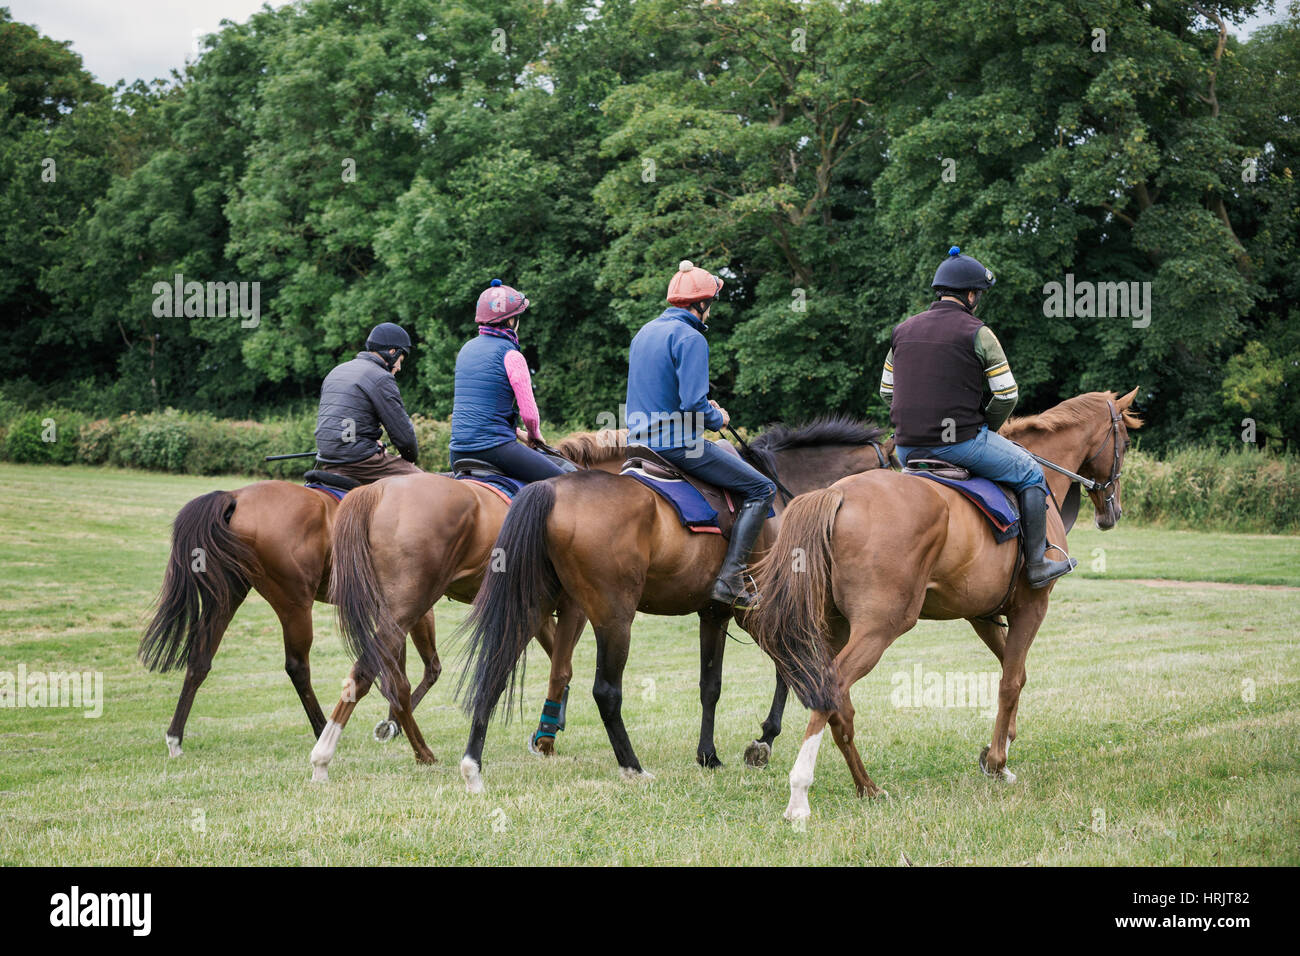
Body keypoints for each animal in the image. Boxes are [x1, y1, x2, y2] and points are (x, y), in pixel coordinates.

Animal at [307, 430, 630, 781]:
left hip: (398, 612)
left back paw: (418, 749)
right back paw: (324, 757)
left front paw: (548, 729)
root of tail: (377, 490)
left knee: (393, 681)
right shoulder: (574, 606)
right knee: (364, 673)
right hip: (409, 607)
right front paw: (546, 737)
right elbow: (561, 669)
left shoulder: (537, 609)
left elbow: (549, 662)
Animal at [456, 417, 895, 794]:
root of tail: (553, 490)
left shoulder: (714, 613)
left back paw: (473, 765)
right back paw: (632, 766)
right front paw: (764, 740)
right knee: (606, 692)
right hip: (614, 617)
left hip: (533, 606)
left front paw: (709, 755)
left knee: (494, 670)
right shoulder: (757, 610)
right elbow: (788, 668)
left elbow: (711, 686)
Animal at [746, 389, 1141, 820]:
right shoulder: (1031, 608)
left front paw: (998, 748)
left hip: (836, 628)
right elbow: (1011, 681)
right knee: (832, 686)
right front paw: (998, 762)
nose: (1113, 511)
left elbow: (1014, 671)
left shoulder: (982, 614)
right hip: (880, 627)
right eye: (1124, 442)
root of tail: (838, 494)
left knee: (837, 703)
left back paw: (867, 787)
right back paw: (800, 793)